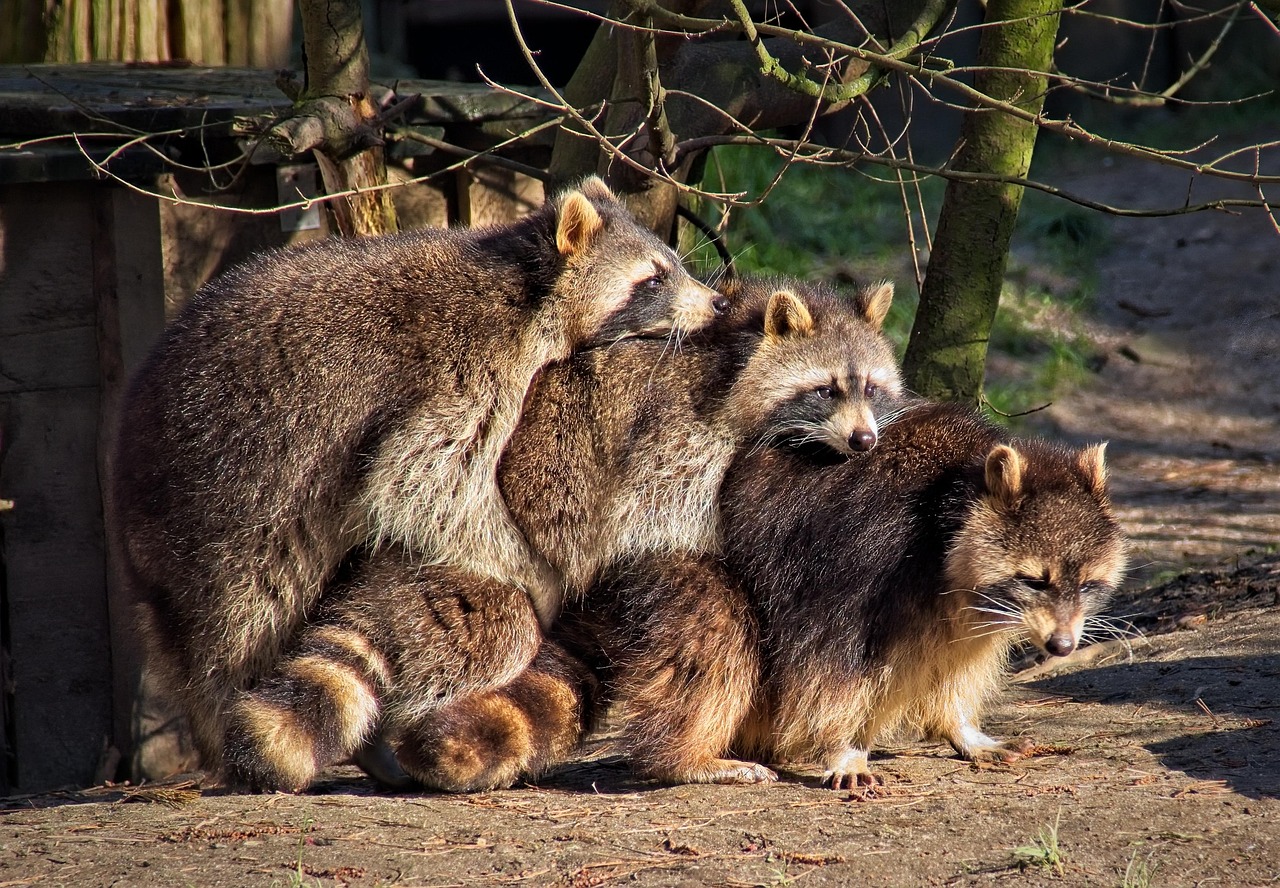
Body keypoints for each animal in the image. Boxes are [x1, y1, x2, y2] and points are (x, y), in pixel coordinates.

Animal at [109, 177, 723, 774]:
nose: (717, 302)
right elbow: (428, 485)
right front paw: (526, 564)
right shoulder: (464, 372)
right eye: (654, 277)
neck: (527, 287)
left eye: (675, 263)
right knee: (244, 620)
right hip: (223, 517)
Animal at [222, 275, 905, 792]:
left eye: (872, 387)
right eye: (826, 388)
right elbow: (654, 507)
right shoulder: (681, 424)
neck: (744, 340)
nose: (864, 440)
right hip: (478, 561)